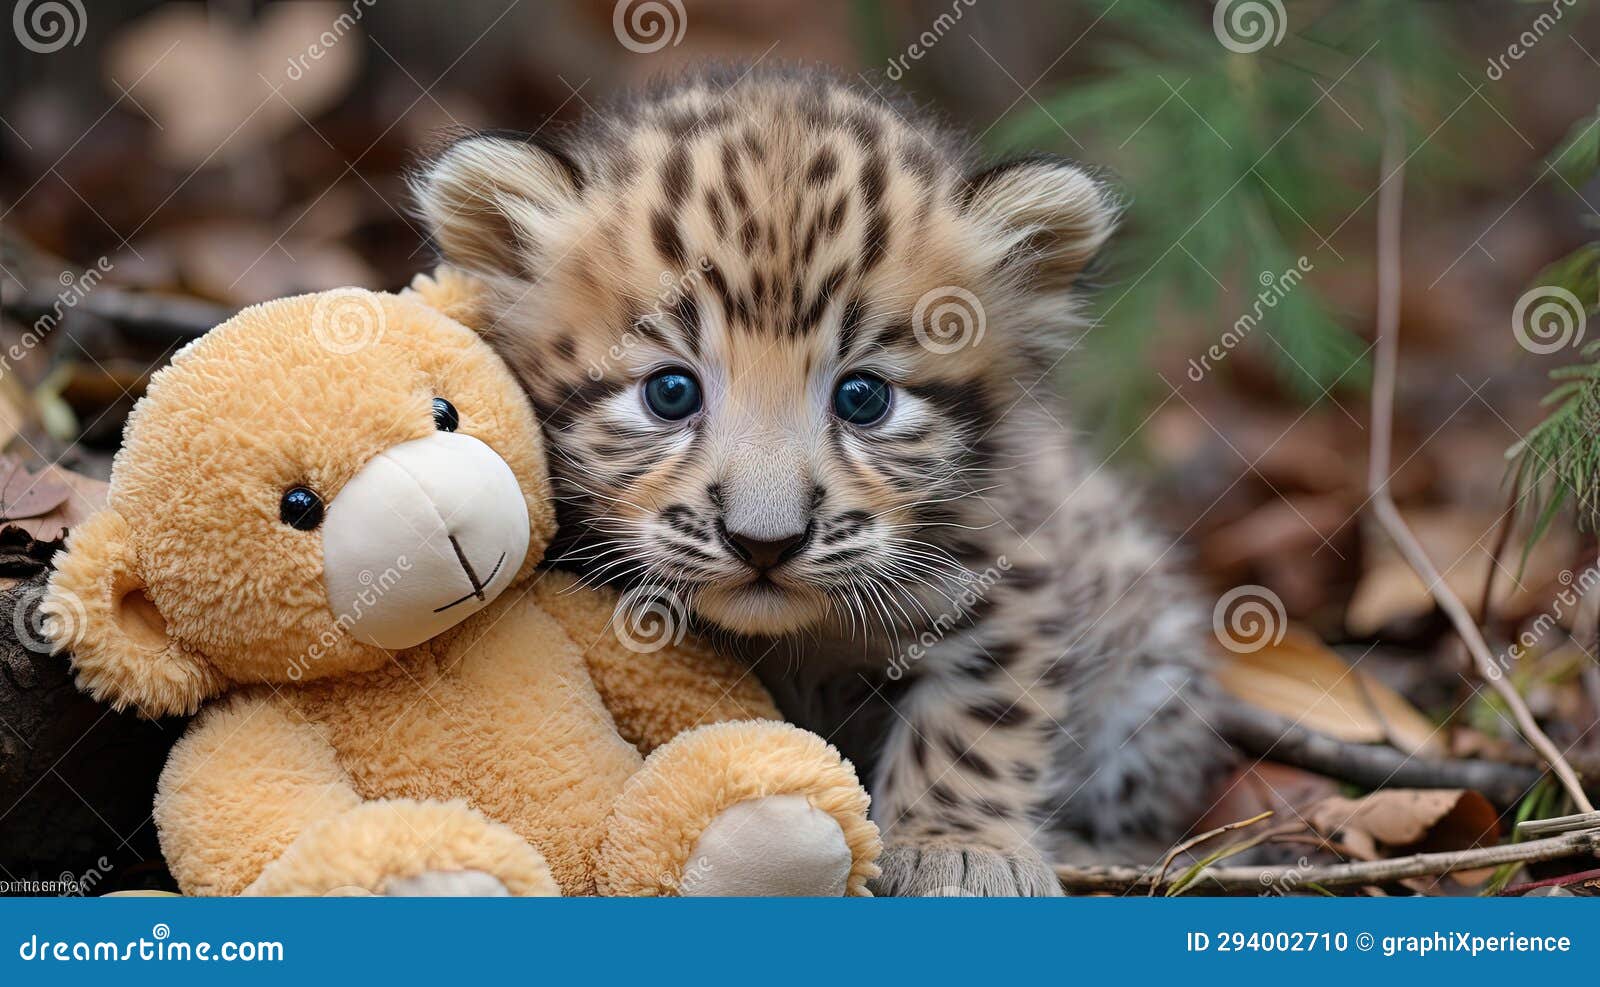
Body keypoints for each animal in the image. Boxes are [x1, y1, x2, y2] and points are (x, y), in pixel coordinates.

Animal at [411, 64, 1235, 896]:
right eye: (670, 392)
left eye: (863, 397)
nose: (764, 541)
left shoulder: (1006, 579)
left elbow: (977, 718)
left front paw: (962, 846)